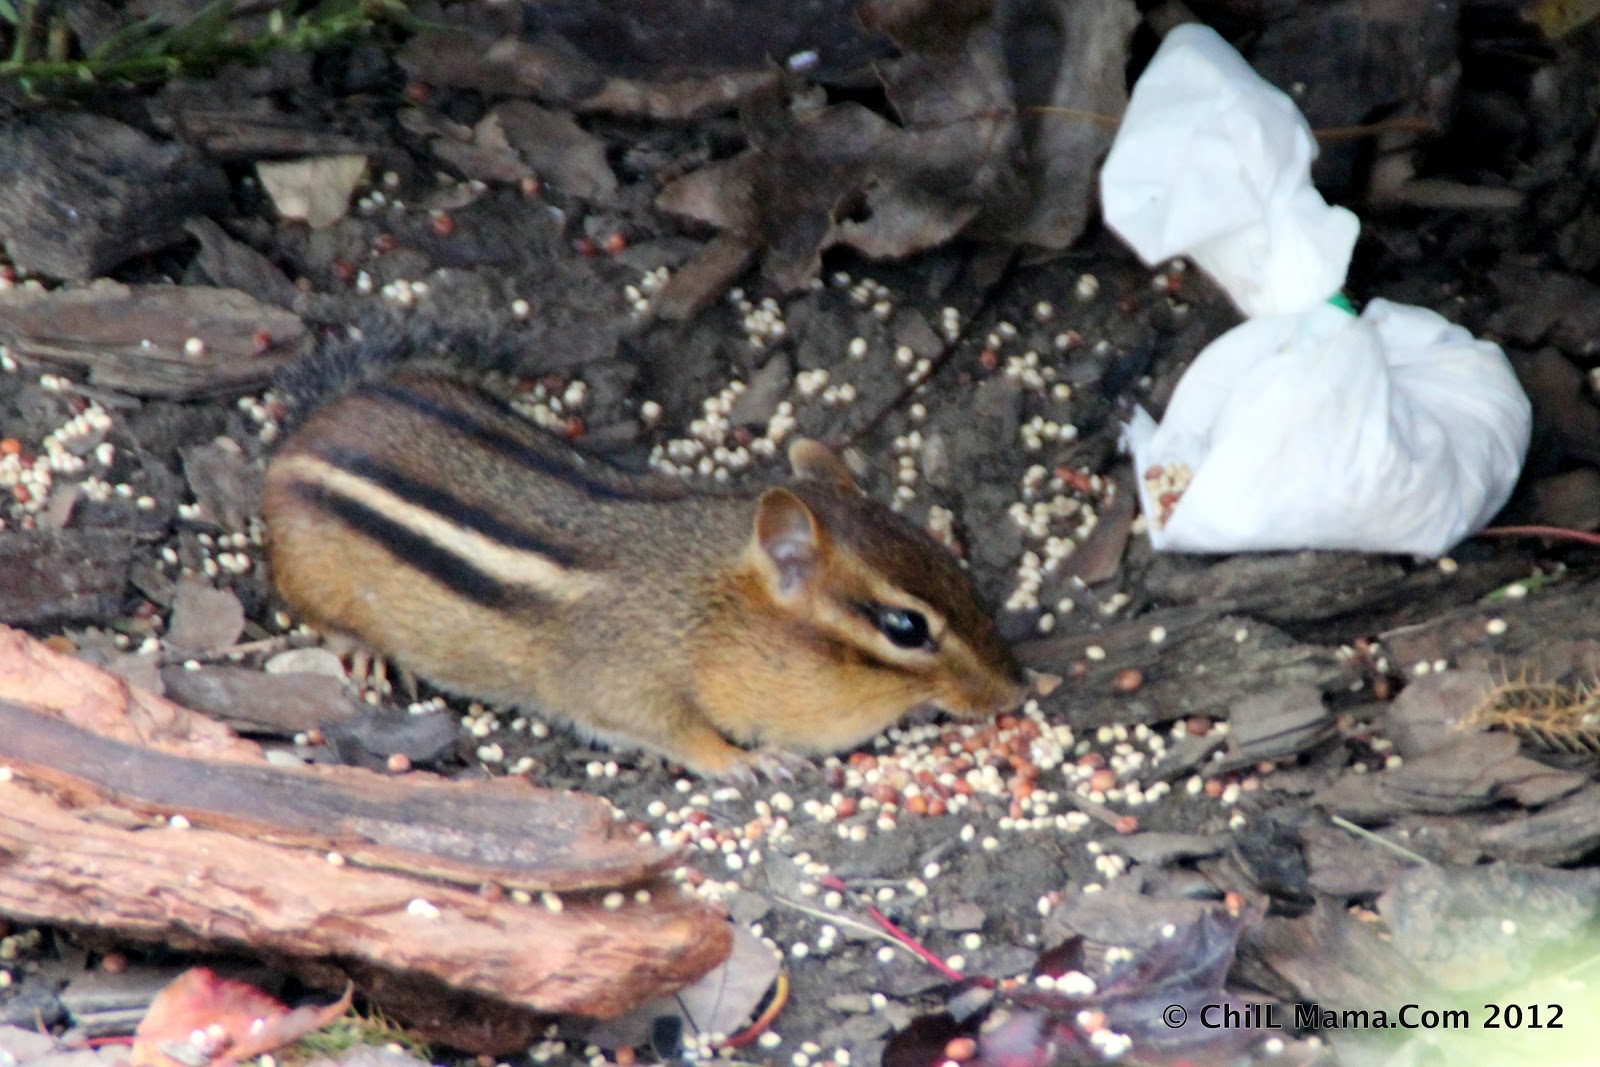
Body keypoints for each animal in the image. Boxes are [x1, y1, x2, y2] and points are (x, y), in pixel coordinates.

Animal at [260, 322, 1039, 780]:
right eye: (905, 626)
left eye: (949, 556)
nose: (1016, 688)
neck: (710, 605)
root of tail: (316, 420)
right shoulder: (620, 679)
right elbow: (664, 727)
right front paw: (741, 760)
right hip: (308, 571)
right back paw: (363, 648)